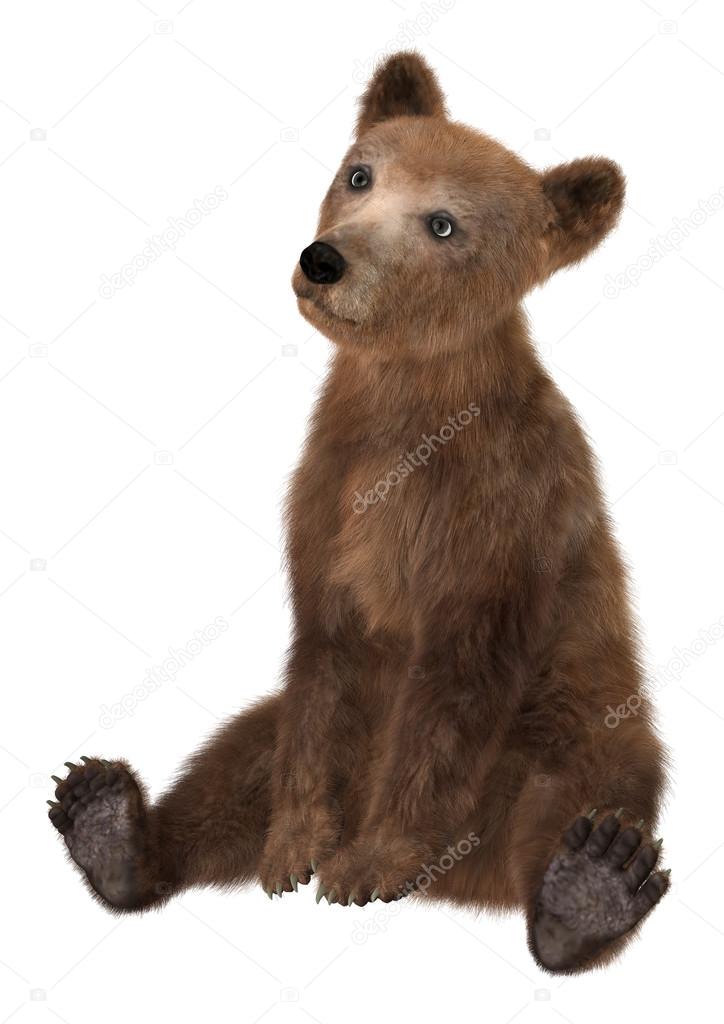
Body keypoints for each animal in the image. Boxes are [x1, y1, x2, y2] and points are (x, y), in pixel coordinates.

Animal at [49, 51, 669, 975]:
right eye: (361, 174)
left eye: (443, 223)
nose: (324, 259)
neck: (406, 412)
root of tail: (469, 884)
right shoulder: (331, 495)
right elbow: (324, 662)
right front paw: (296, 850)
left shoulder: (498, 511)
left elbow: (455, 683)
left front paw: (367, 862)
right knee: (236, 759)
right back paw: (110, 827)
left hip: (575, 723)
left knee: (575, 793)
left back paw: (586, 888)